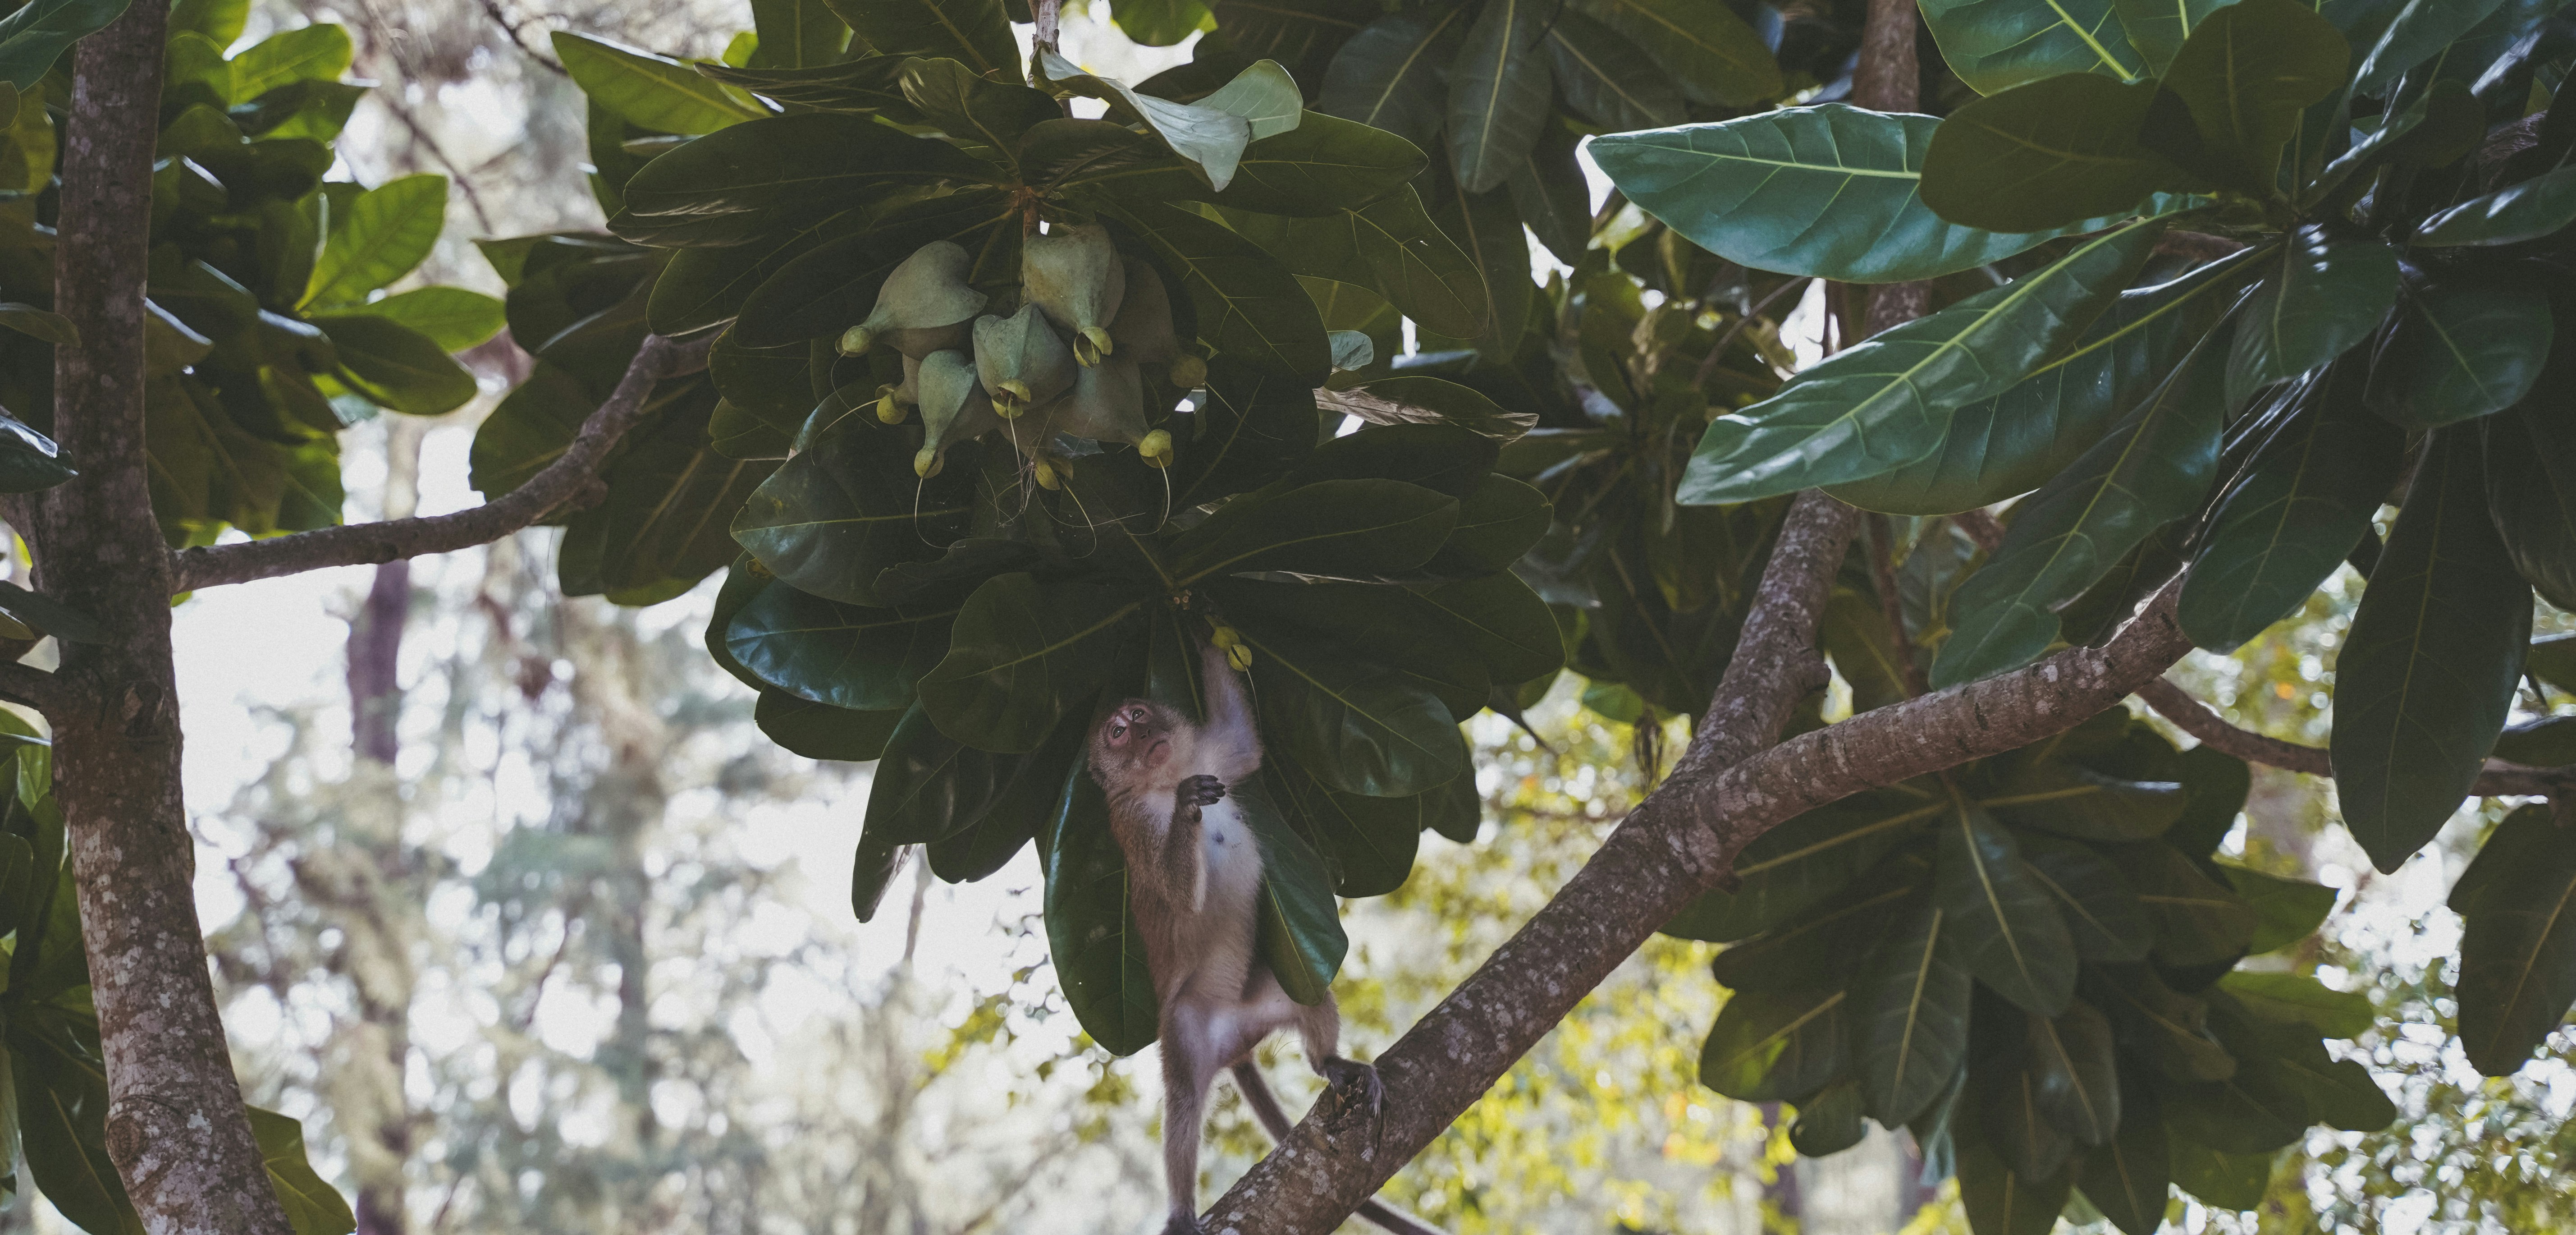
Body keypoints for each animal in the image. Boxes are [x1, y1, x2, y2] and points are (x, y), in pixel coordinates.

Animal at [1090, 638, 1440, 1235]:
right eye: (1117, 733)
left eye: (1138, 715)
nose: (1140, 734)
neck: (1161, 778)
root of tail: (1235, 1044)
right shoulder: (1132, 824)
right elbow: (1179, 897)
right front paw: (1187, 805)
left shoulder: (1212, 759)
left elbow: (1244, 746)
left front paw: (1204, 623)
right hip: (1185, 1025)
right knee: (1184, 1102)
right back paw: (1181, 1208)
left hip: (1267, 995)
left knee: (1311, 996)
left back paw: (1332, 1064)